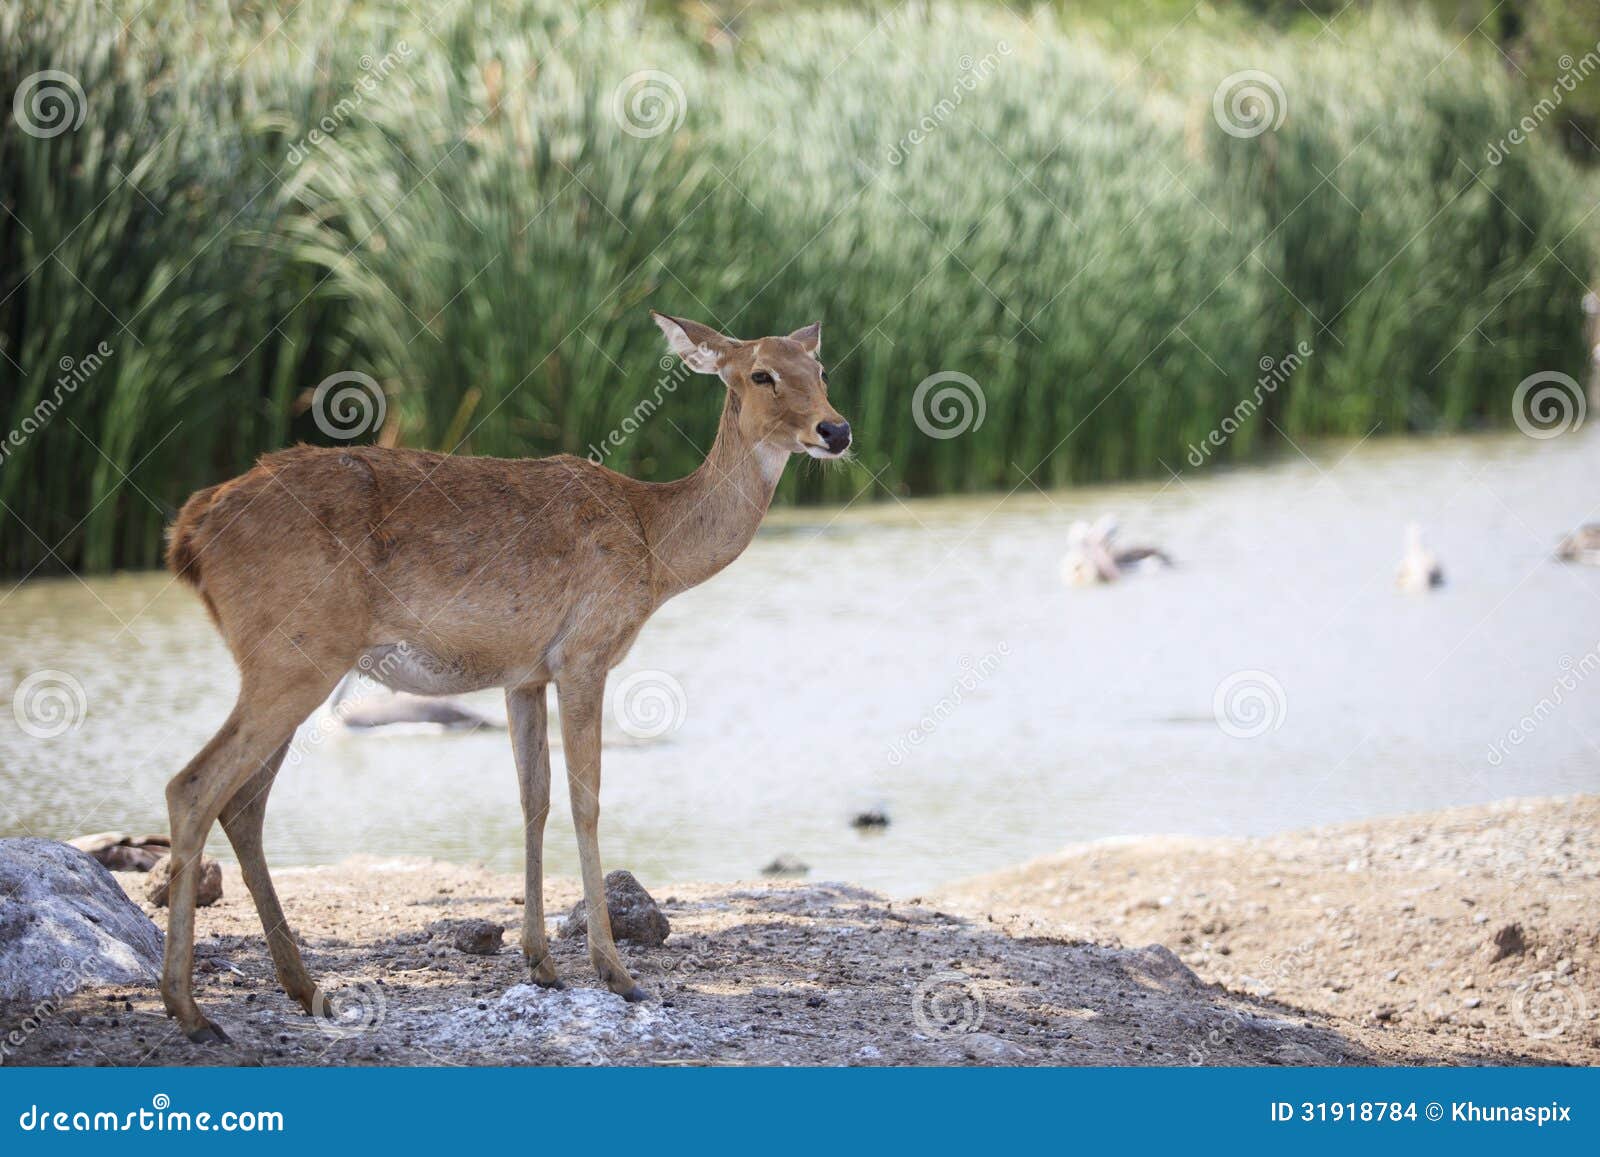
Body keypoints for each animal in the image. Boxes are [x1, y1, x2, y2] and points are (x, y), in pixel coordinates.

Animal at [159, 312, 850, 1042]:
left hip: (295, 662)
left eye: (820, 368)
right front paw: (617, 972)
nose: (836, 430)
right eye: (761, 373)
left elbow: (533, 798)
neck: (655, 545)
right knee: (194, 785)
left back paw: (303, 988)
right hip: (292, 656)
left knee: (244, 803)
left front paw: (541, 962)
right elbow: (584, 799)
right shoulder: (585, 652)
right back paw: (191, 1011)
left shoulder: (524, 674)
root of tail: (188, 534)